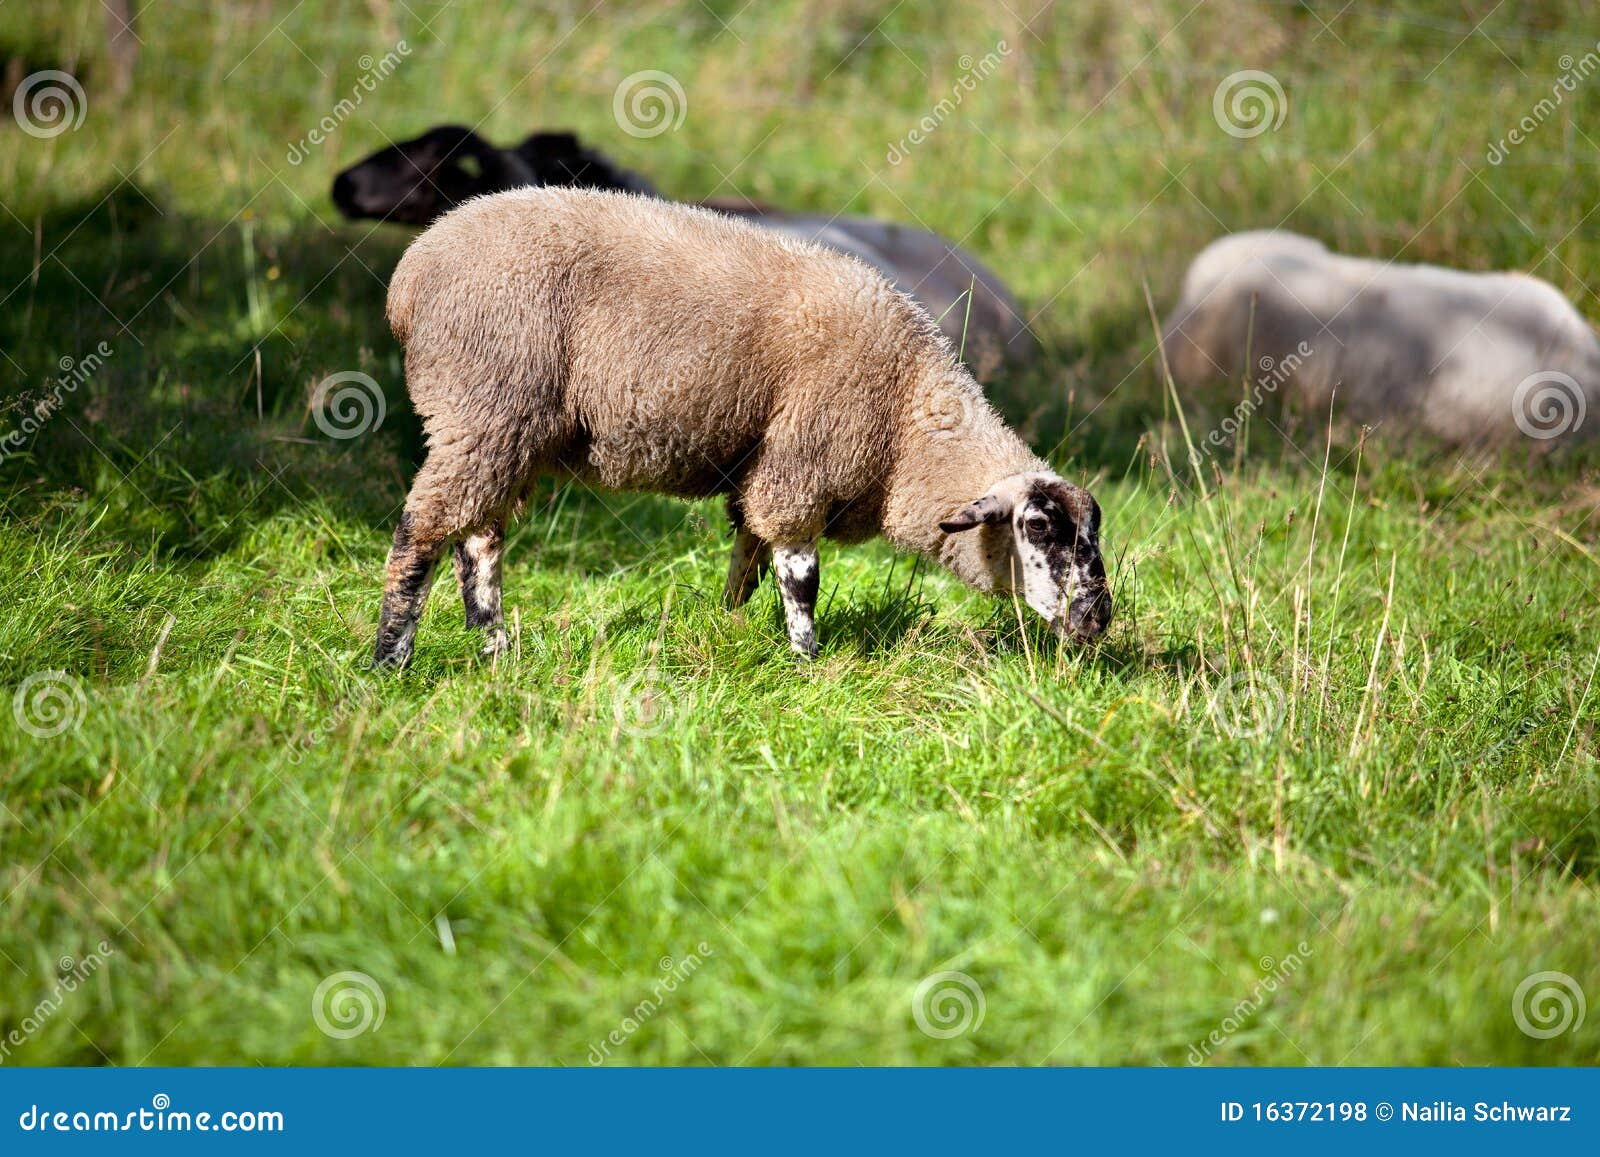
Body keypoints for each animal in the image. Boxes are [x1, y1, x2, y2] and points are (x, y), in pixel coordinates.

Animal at [371, 187, 1110, 669]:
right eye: (1038, 529)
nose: (1097, 619)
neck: (907, 425)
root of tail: (410, 273)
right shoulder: (801, 468)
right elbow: (801, 577)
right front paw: (807, 662)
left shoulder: (762, 475)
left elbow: (747, 564)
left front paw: (727, 627)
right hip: (482, 405)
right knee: (422, 531)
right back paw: (391, 660)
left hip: (506, 433)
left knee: (478, 540)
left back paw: (494, 651)